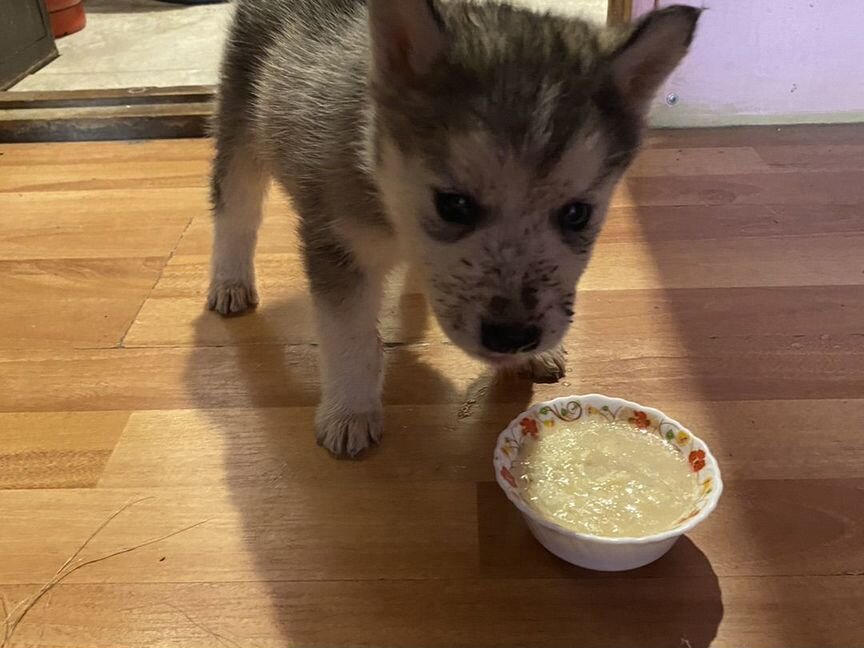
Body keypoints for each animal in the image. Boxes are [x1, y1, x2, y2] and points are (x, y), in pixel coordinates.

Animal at [209, 0, 704, 456]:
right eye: (453, 205)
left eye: (576, 214)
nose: (512, 337)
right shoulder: (340, 245)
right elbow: (349, 337)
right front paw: (350, 412)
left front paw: (537, 354)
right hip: (241, 120)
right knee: (235, 210)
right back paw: (230, 282)